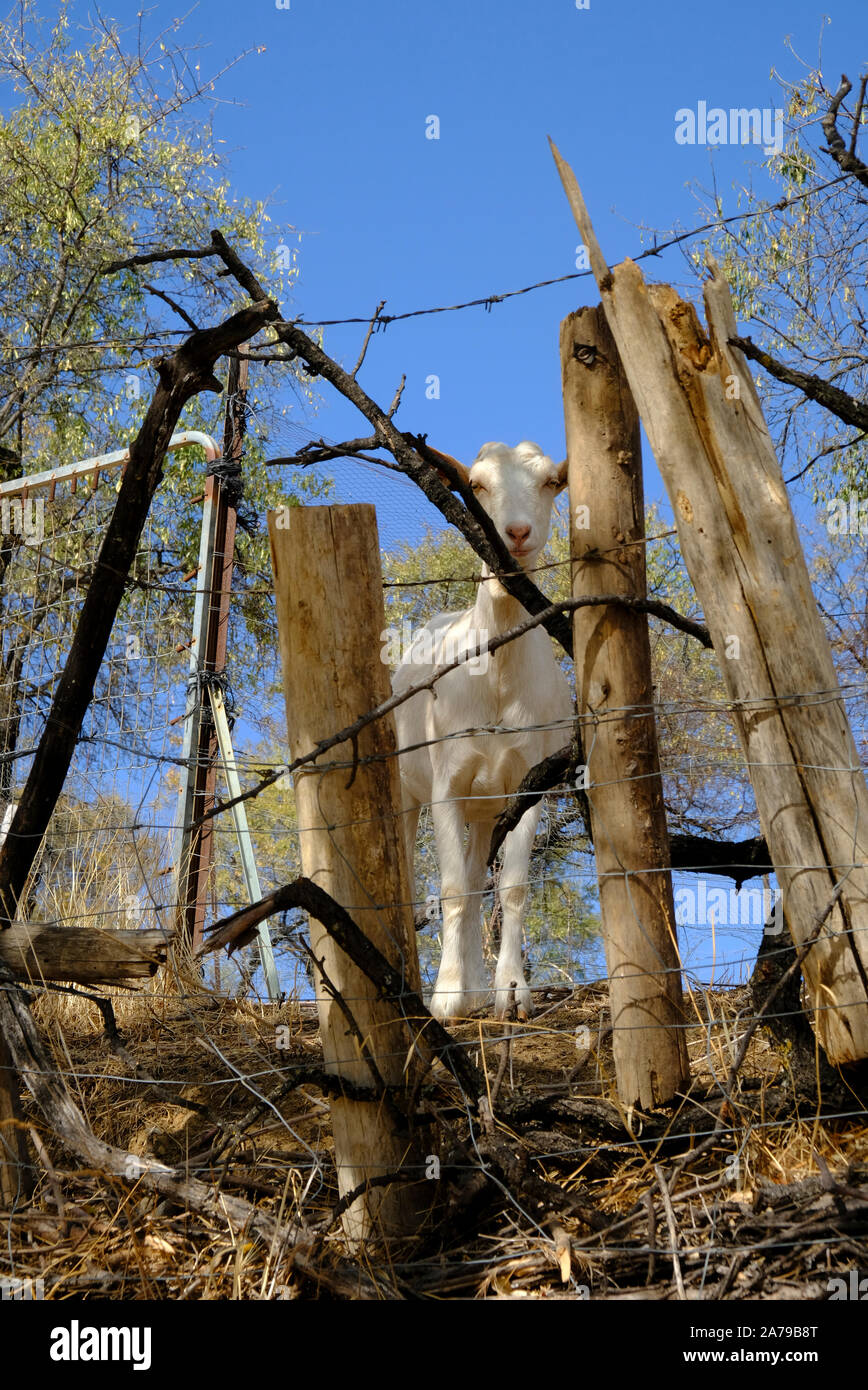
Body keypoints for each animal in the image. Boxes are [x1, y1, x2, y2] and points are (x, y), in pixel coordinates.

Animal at [392, 441, 572, 1021]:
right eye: (477, 484)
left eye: (551, 483)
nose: (515, 532)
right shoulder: (447, 782)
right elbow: (448, 888)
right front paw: (446, 996)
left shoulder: (529, 782)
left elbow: (509, 887)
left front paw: (509, 990)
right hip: (406, 788)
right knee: (411, 873)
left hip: (486, 807)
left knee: (476, 879)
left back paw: (474, 986)